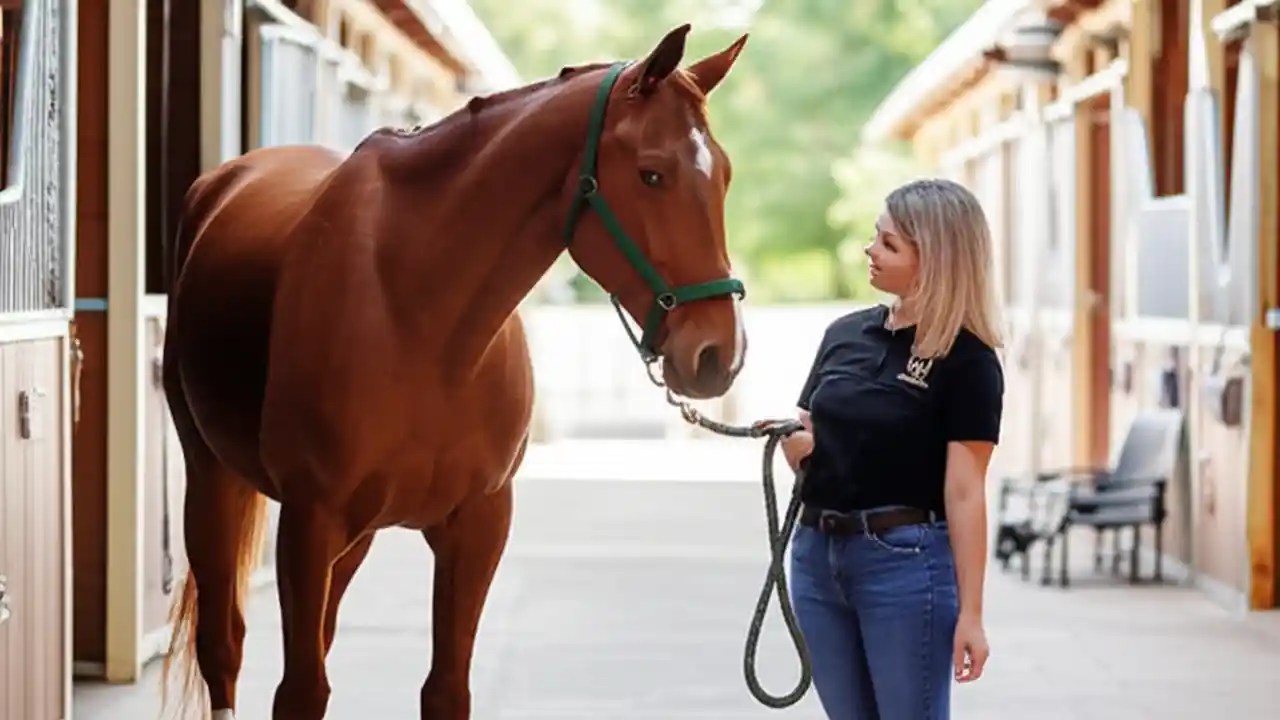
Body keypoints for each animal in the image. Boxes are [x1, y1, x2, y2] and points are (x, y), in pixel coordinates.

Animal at [159, 23, 750, 720]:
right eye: (652, 173)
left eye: (724, 176)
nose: (717, 354)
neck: (417, 313)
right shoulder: (309, 519)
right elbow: (301, 690)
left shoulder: (478, 523)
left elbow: (444, 689)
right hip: (213, 479)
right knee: (223, 644)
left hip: (353, 535)